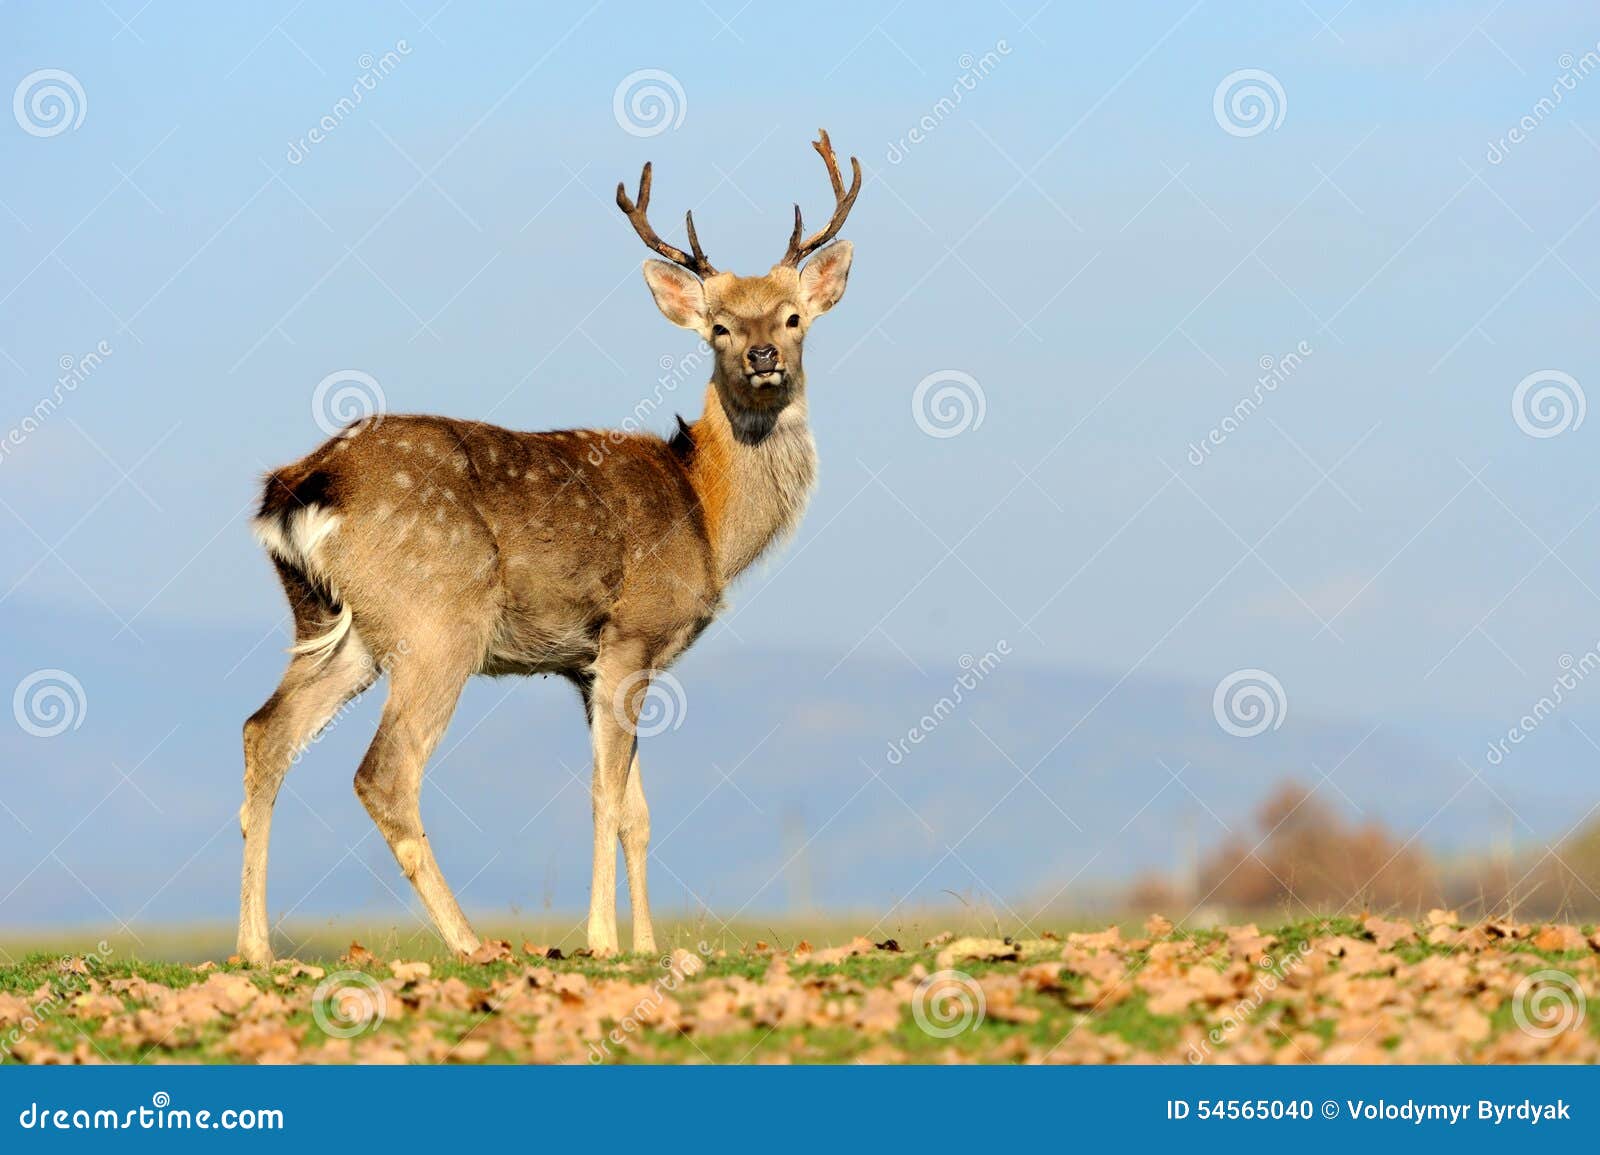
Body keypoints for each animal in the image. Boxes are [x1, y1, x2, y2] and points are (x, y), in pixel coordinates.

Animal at [236, 130, 860, 965]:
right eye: (720, 327)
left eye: (793, 318)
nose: (763, 357)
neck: (707, 510)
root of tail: (300, 484)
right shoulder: (630, 633)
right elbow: (605, 796)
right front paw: (602, 938)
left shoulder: (585, 666)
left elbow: (639, 811)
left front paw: (647, 945)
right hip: (438, 619)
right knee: (384, 772)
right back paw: (470, 941)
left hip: (338, 626)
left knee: (264, 732)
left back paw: (256, 947)